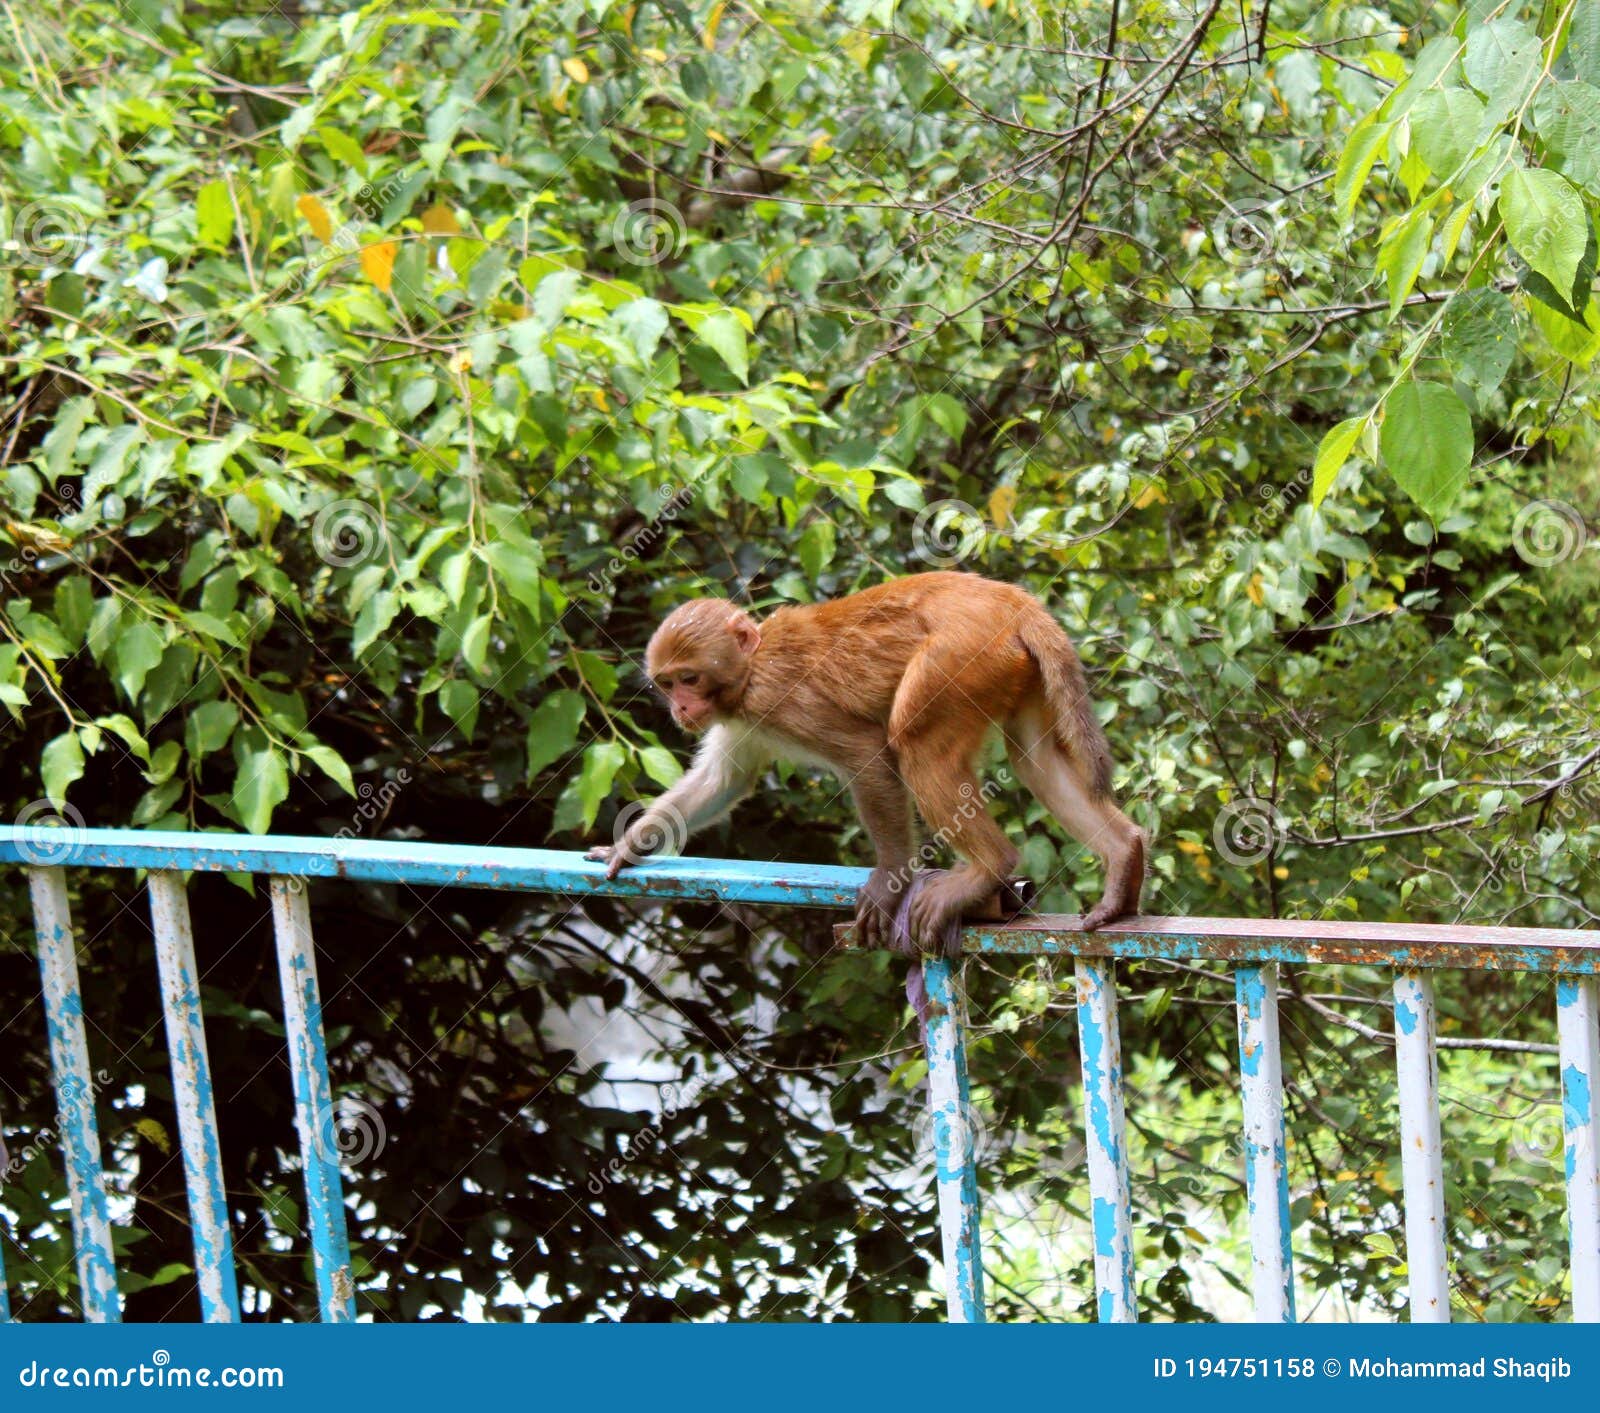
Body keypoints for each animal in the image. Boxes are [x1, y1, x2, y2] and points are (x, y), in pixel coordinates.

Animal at [585, 572, 1147, 951]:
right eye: (667, 683)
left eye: (690, 678)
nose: (680, 708)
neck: (749, 669)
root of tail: (1010, 601)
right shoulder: (744, 721)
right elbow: (726, 779)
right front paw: (631, 843)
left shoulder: (776, 698)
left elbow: (867, 755)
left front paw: (890, 876)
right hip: (1014, 670)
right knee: (1034, 756)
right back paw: (1124, 854)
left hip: (962, 658)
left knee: (915, 743)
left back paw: (990, 868)